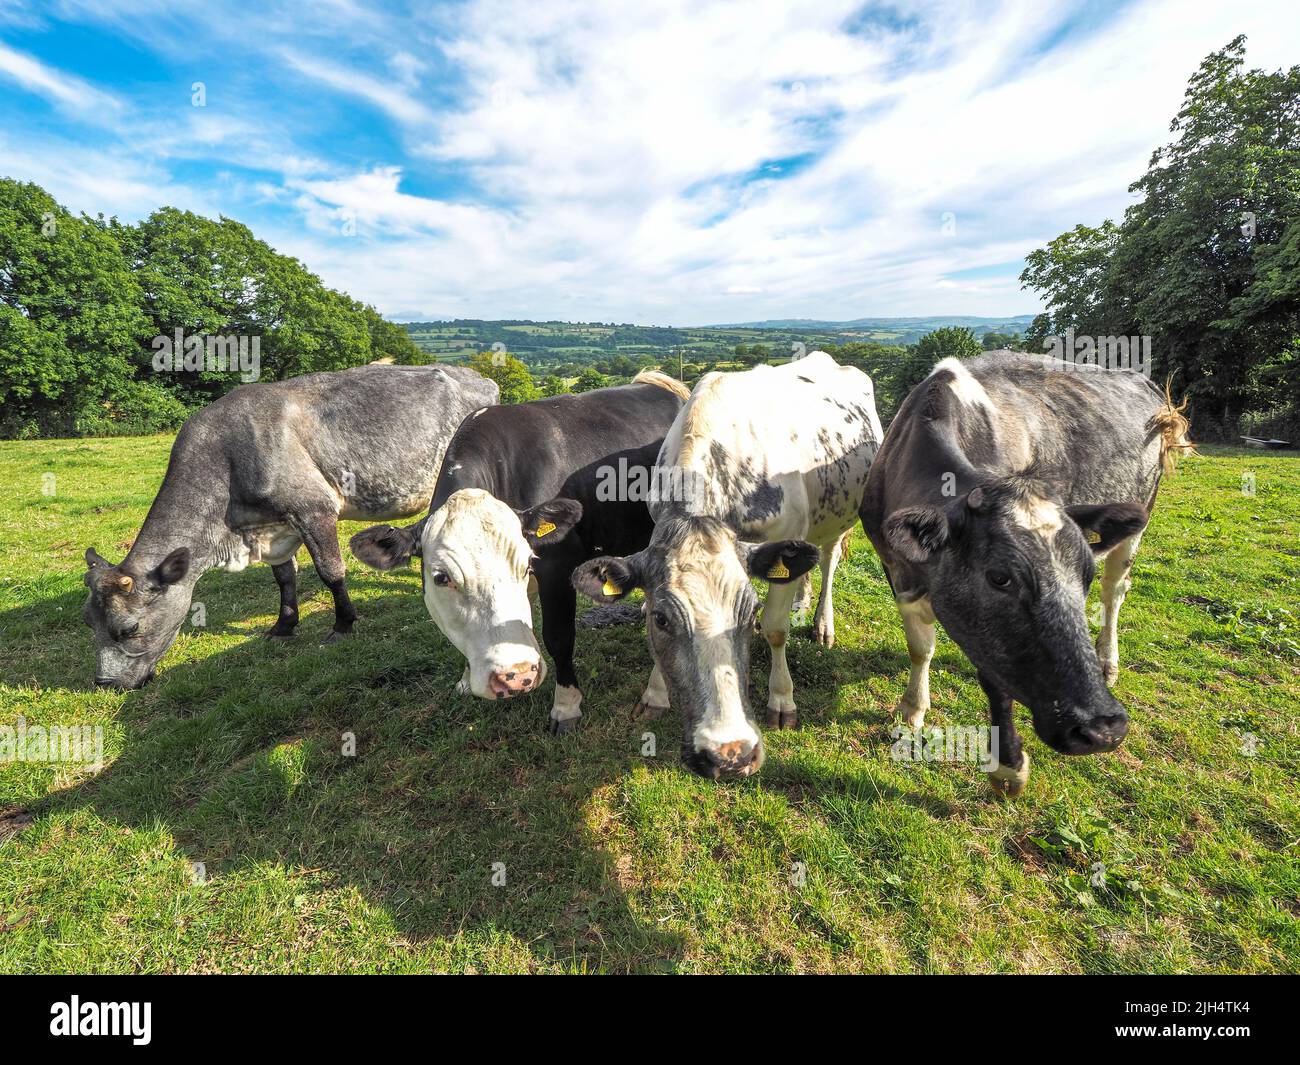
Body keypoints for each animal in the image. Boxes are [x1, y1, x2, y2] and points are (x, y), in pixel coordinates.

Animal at [82, 364, 498, 689]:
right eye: (90, 624)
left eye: (129, 628)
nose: (106, 684)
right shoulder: (275, 529)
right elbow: (284, 578)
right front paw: (283, 625)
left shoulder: (313, 508)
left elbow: (331, 571)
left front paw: (343, 624)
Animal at [348, 370, 690, 733]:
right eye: (441, 577)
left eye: (526, 566)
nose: (515, 676)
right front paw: (466, 678)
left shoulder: (558, 567)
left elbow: (559, 637)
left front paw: (566, 706)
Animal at [572, 352, 884, 779]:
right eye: (660, 619)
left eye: (750, 610)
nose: (729, 754)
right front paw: (655, 693)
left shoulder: (784, 535)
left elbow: (775, 629)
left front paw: (781, 698)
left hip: (841, 512)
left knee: (829, 559)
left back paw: (822, 622)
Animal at [858, 351, 1193, 797]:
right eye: (1000, 577)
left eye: (1084, 574)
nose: (1103, 727)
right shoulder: (897, 569)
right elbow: (920, 647)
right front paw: (912, 709)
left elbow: (994, 680)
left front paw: (1007, 766)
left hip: (1140, 516)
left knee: (1115, 591)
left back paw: (1107, 659)